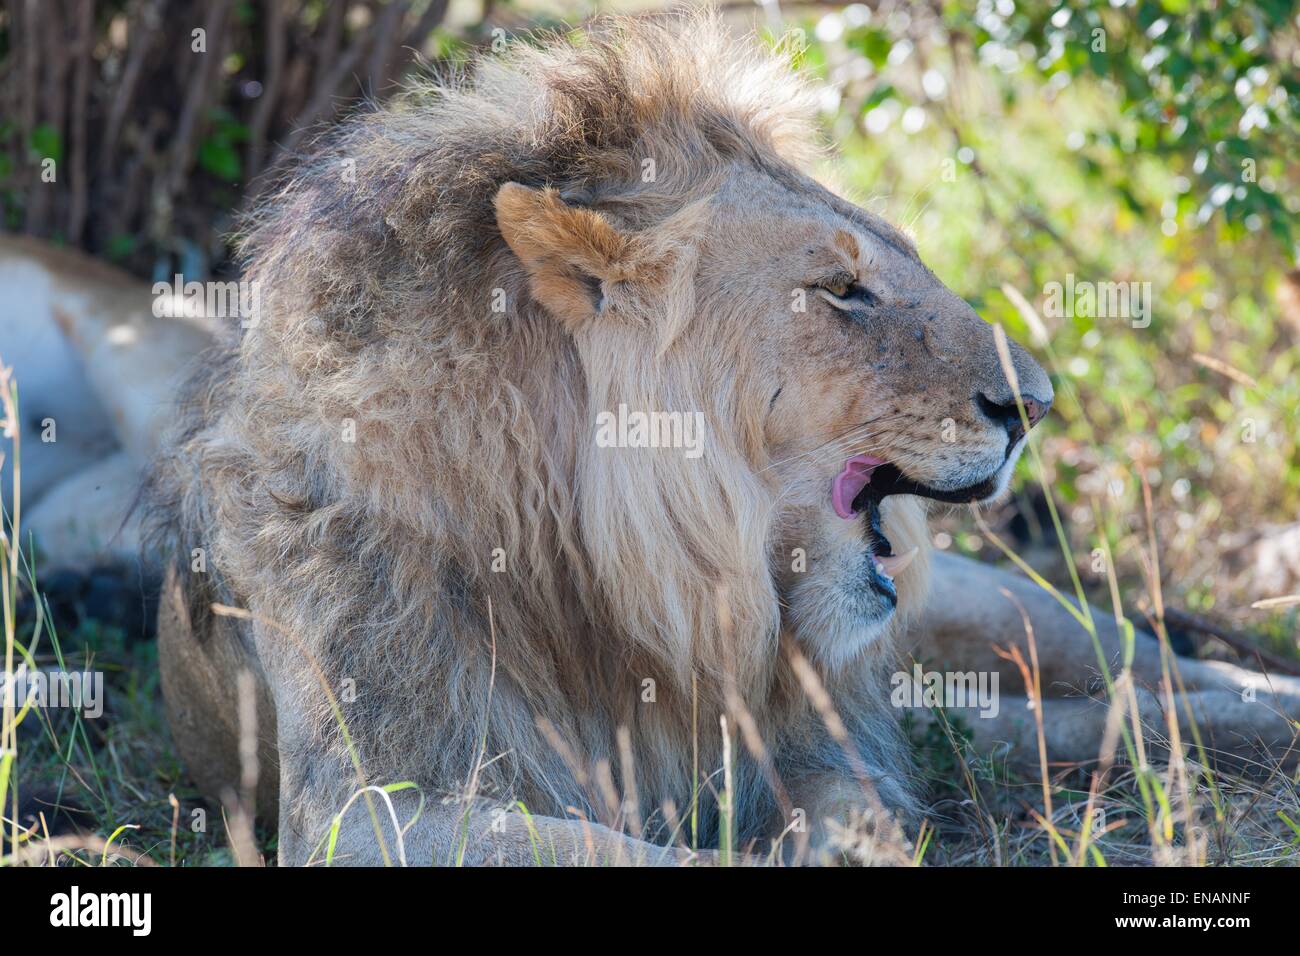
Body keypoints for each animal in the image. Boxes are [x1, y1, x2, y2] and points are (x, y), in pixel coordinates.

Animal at [147, 13, 1300, 866]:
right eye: (840, 290)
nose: (1037, 403)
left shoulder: (808, 732)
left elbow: (852, 797)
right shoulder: (373, 804)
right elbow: (623, 851)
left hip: (991, 608)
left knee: (1137, 668)